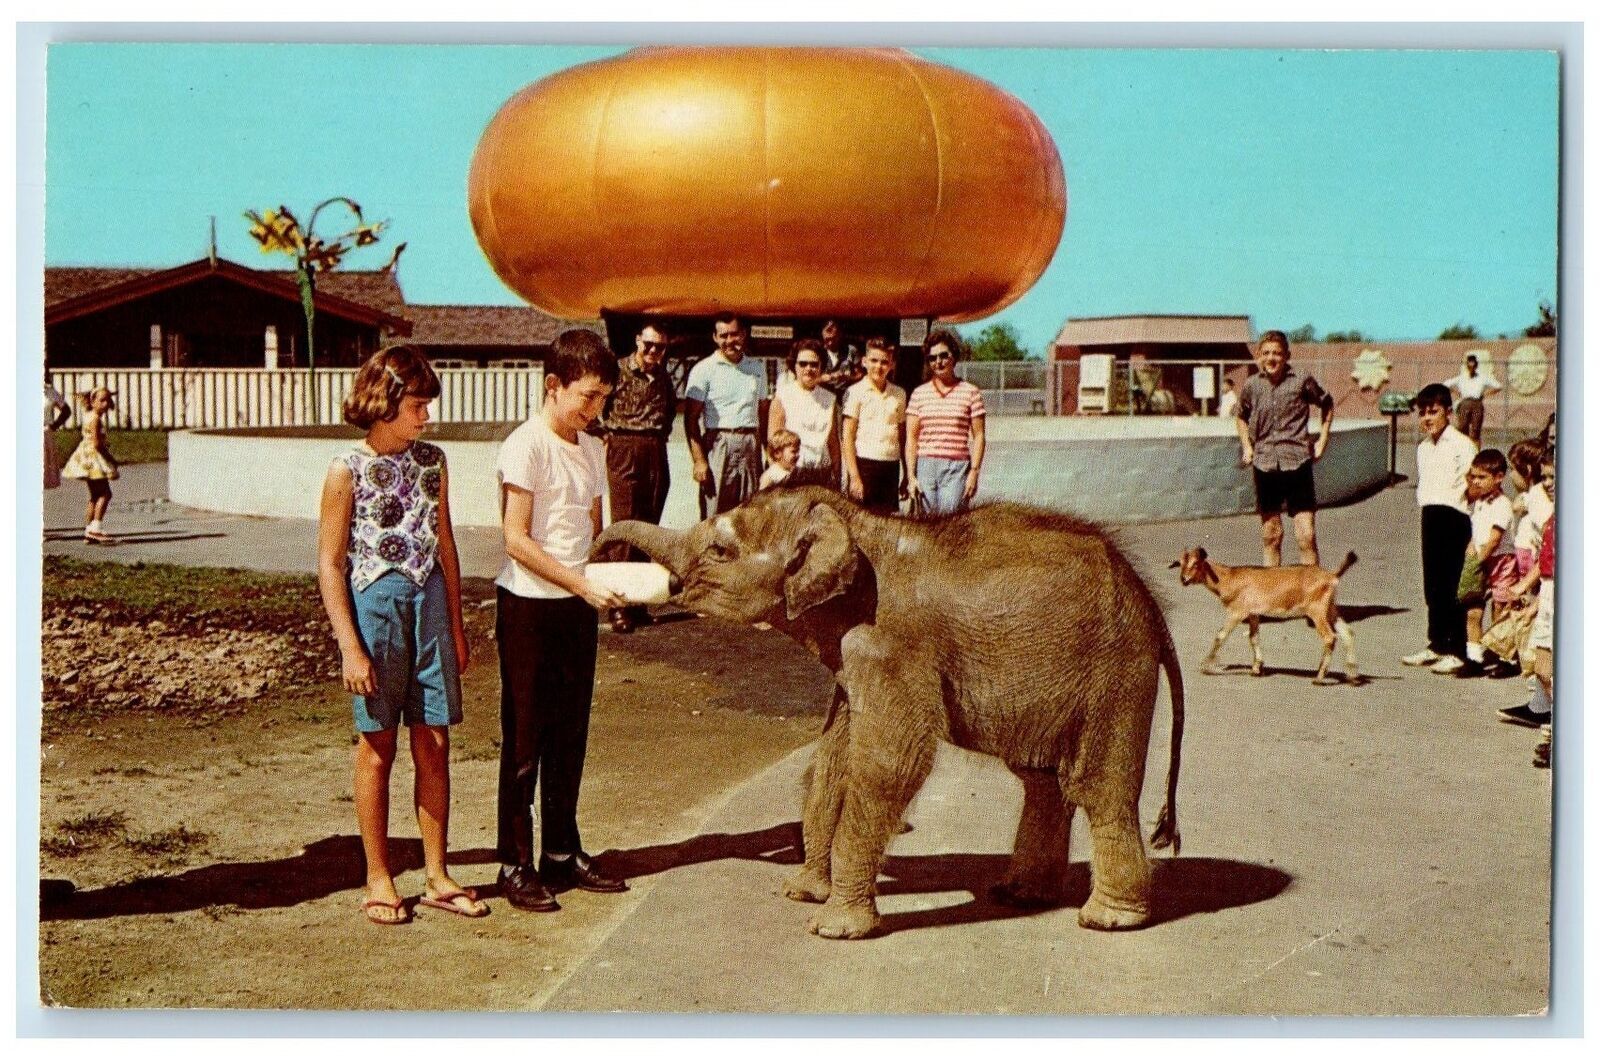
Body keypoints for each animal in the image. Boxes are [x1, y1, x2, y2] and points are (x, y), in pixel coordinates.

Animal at [593, 484, 1184, 939]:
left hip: (1115, 672)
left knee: (1098, 786)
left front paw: (833, 928)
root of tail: (1154, 608)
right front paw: (800, 893)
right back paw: (1020, 895)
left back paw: (1108, 920)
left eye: (720, 549)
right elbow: (834, 755)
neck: (860, 524)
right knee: (1041, 780)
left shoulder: (890, 648)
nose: (599, 550)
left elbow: (888, 765)